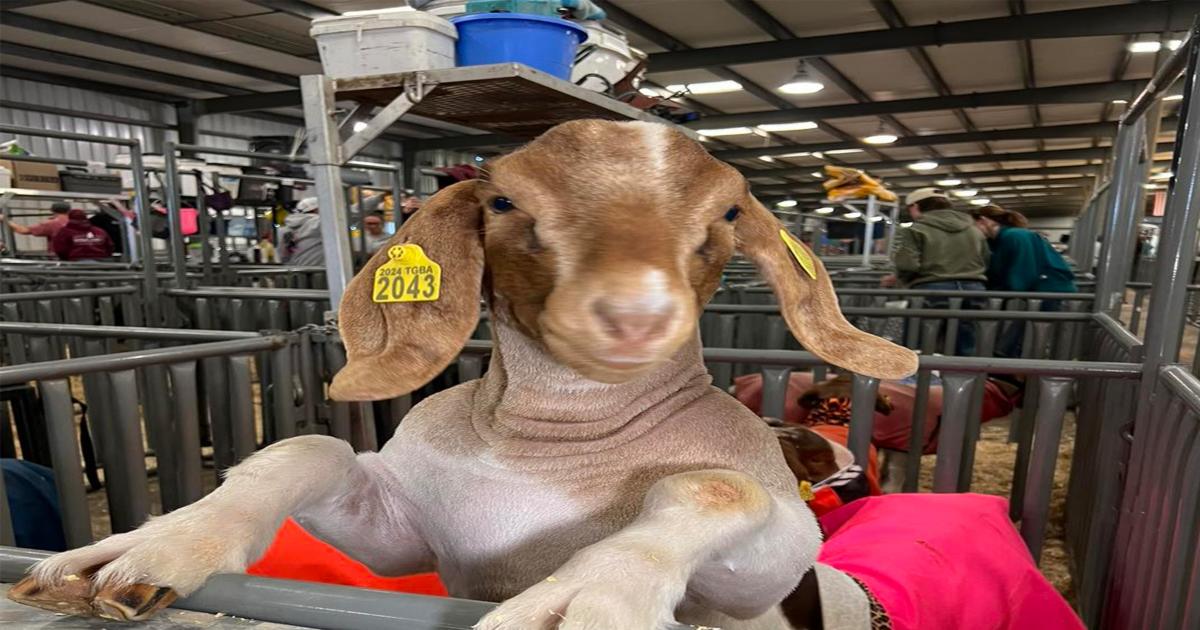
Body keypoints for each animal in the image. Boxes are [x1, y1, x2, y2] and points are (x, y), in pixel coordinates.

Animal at [10, 120, 917, 629]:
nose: (632, 315)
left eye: (727, 211)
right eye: (507, 201)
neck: (551, 443)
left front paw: (580, 603)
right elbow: (309, 450)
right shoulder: (405, 534)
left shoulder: (757, 579)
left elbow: (714, 486)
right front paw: (146, 552)